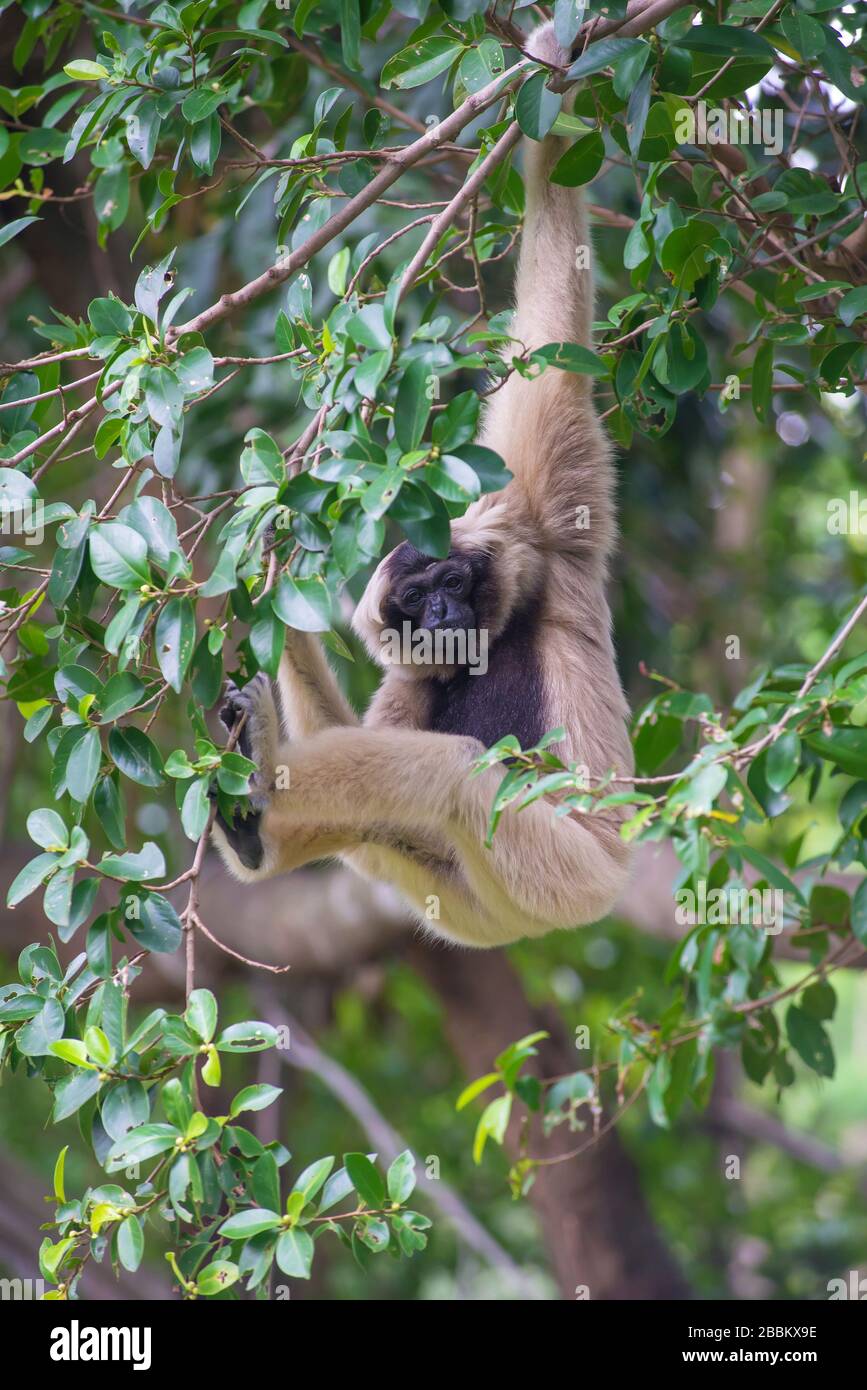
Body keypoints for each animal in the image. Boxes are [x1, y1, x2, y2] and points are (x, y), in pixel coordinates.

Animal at [211, 21, 634, 948]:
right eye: (414, 601)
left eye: (449, 580)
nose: (440, 613)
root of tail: (530, 929)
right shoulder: (415, 673)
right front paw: (278, 578)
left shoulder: (542, 521)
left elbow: (550, 358)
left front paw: (550, 70)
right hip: (473, 899)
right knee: (383, 829)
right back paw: (256, 828)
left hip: (565, 872)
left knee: (451, 777)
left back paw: (262, 778)